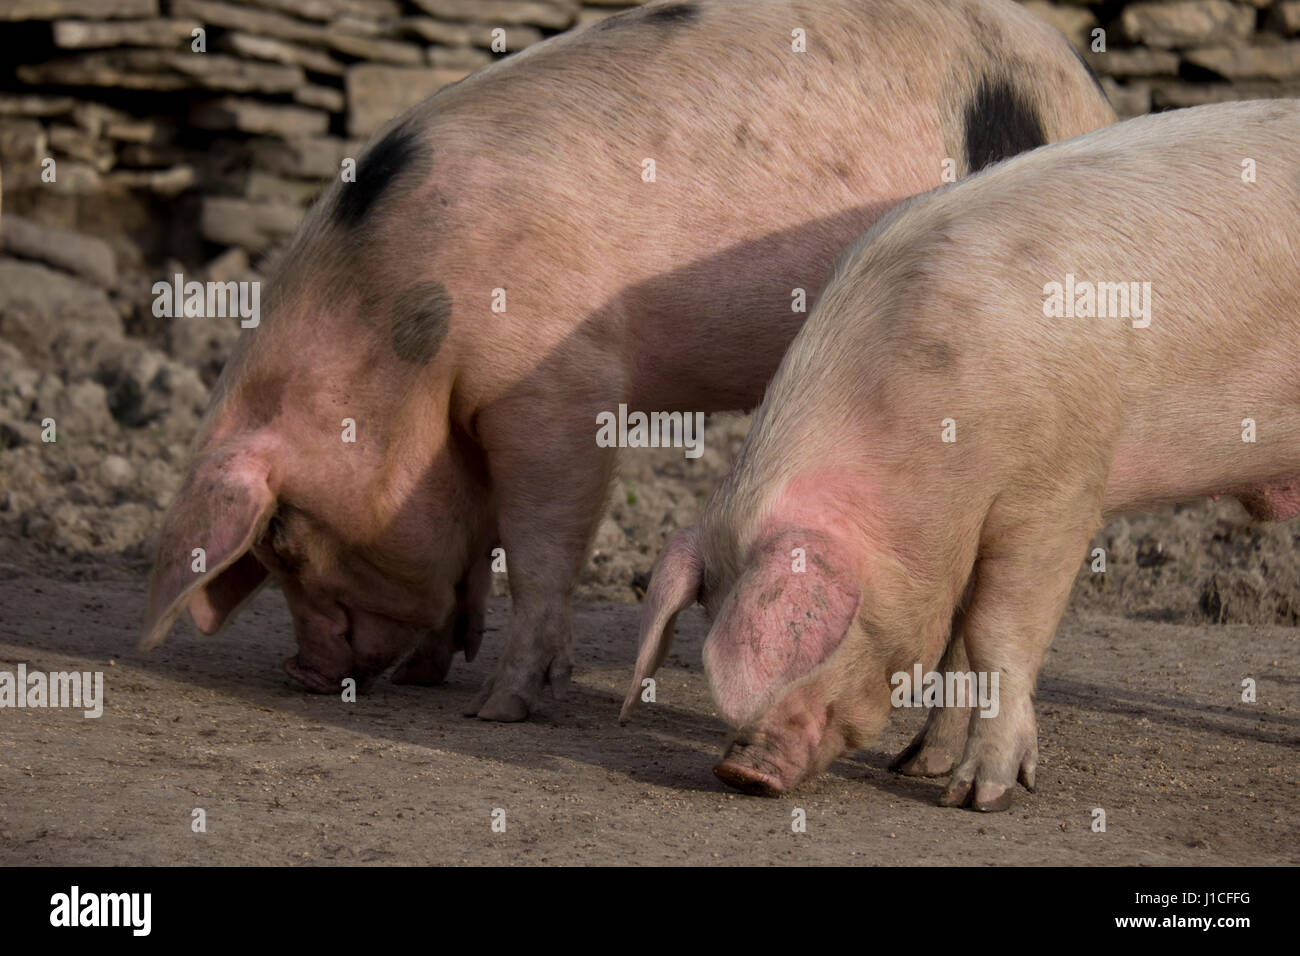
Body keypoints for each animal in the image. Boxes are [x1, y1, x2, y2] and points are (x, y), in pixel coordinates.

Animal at [140, 0, 1115, 721]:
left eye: (286, 538)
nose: (302, 676)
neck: (398, 328)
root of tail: (1088, 89)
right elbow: (478, 538)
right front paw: (447, 670)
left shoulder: (556, 385)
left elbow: (541, 539)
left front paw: (500, 707)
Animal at [622, 99, 1300, 809]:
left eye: (811, 634)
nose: (739, 770)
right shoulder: (961, 525)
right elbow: (957, 640)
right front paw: (918, 767)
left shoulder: (1058, 491)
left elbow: (995, 632)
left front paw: (979, 798)